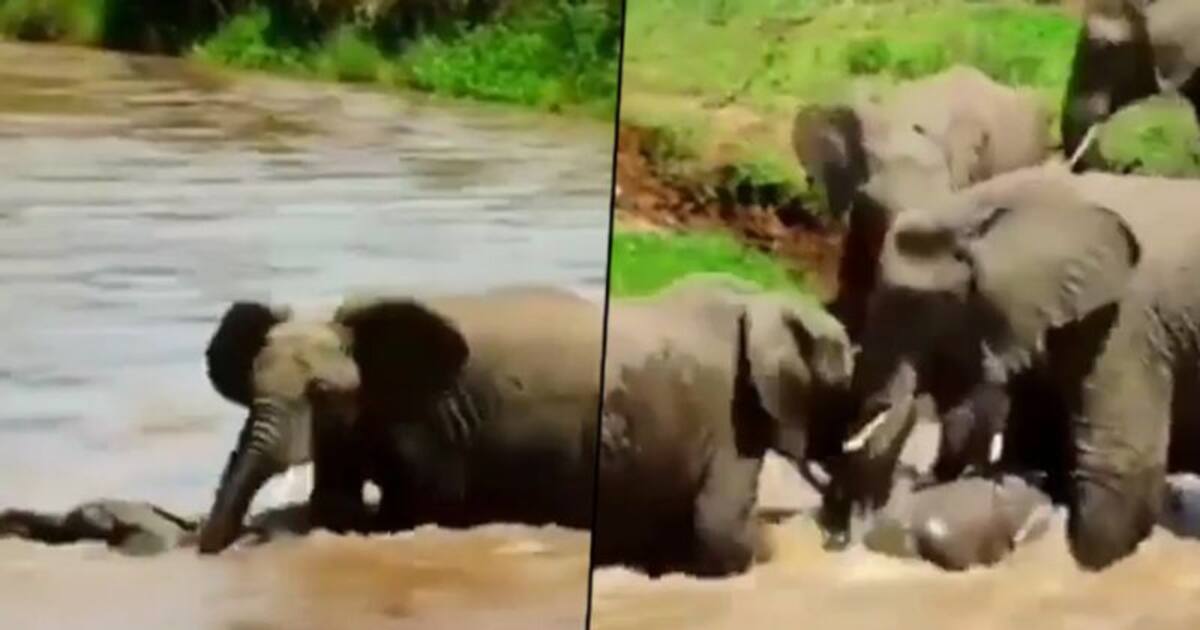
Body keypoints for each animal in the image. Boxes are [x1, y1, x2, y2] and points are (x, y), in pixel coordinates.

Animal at [196, 286, 603, 554]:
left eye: (320, 392)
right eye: (251, 390)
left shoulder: (431, 419)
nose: (242, 537)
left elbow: (420, 503)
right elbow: (334, 501)